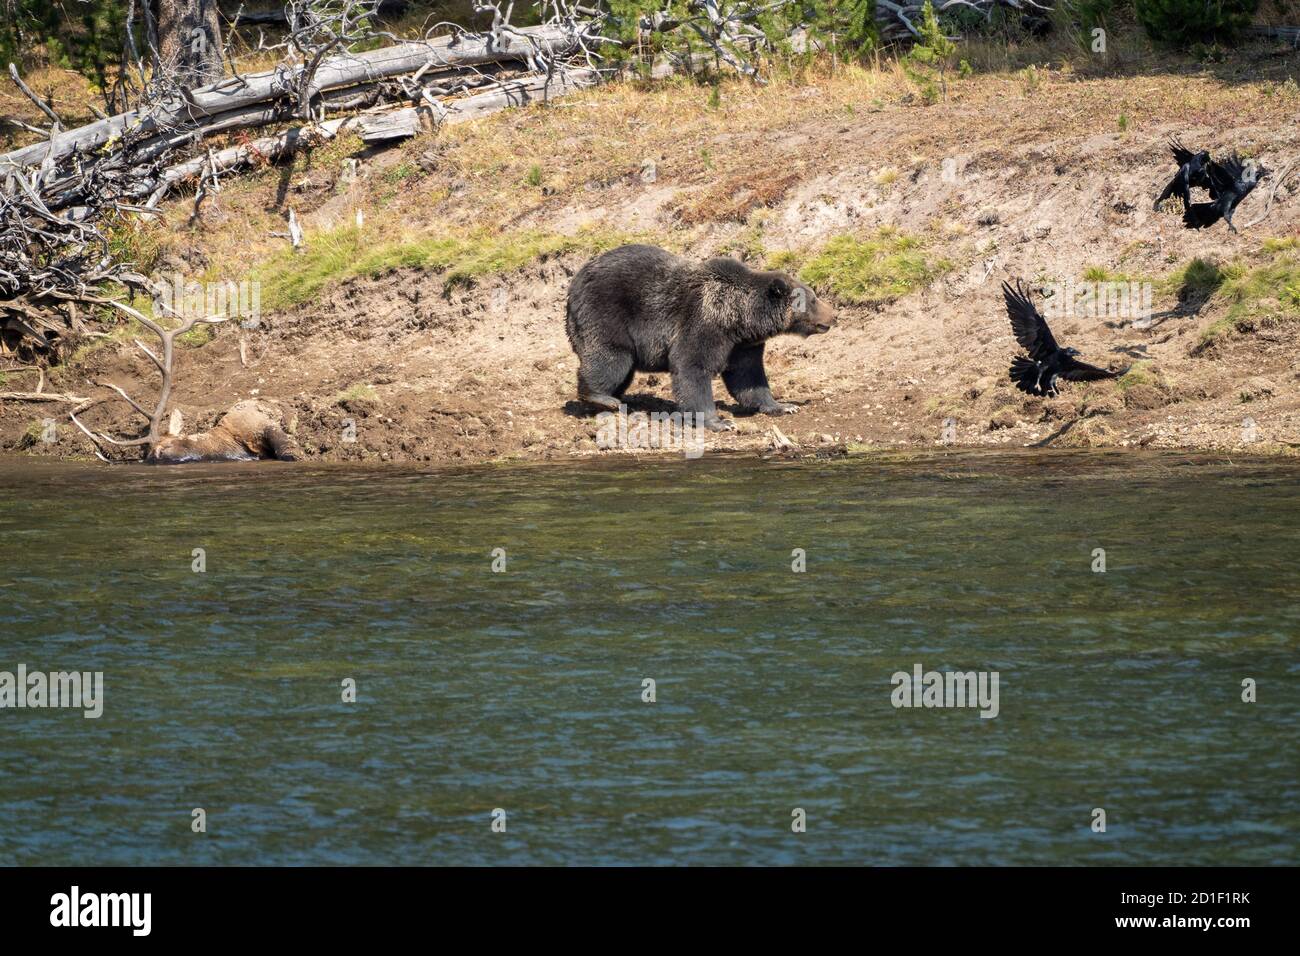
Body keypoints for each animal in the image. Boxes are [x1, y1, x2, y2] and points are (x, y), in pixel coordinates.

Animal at [564, 244, 835, 431]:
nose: (833, 315)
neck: (738, 318)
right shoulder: (703, 323)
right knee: (611, 357)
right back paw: (601, 397)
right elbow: (692, 367)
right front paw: (720, 421)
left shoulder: (742, 345)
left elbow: (748, 376)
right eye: (812, 299)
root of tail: (574, 282)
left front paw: (782, 406)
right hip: (605, 312)